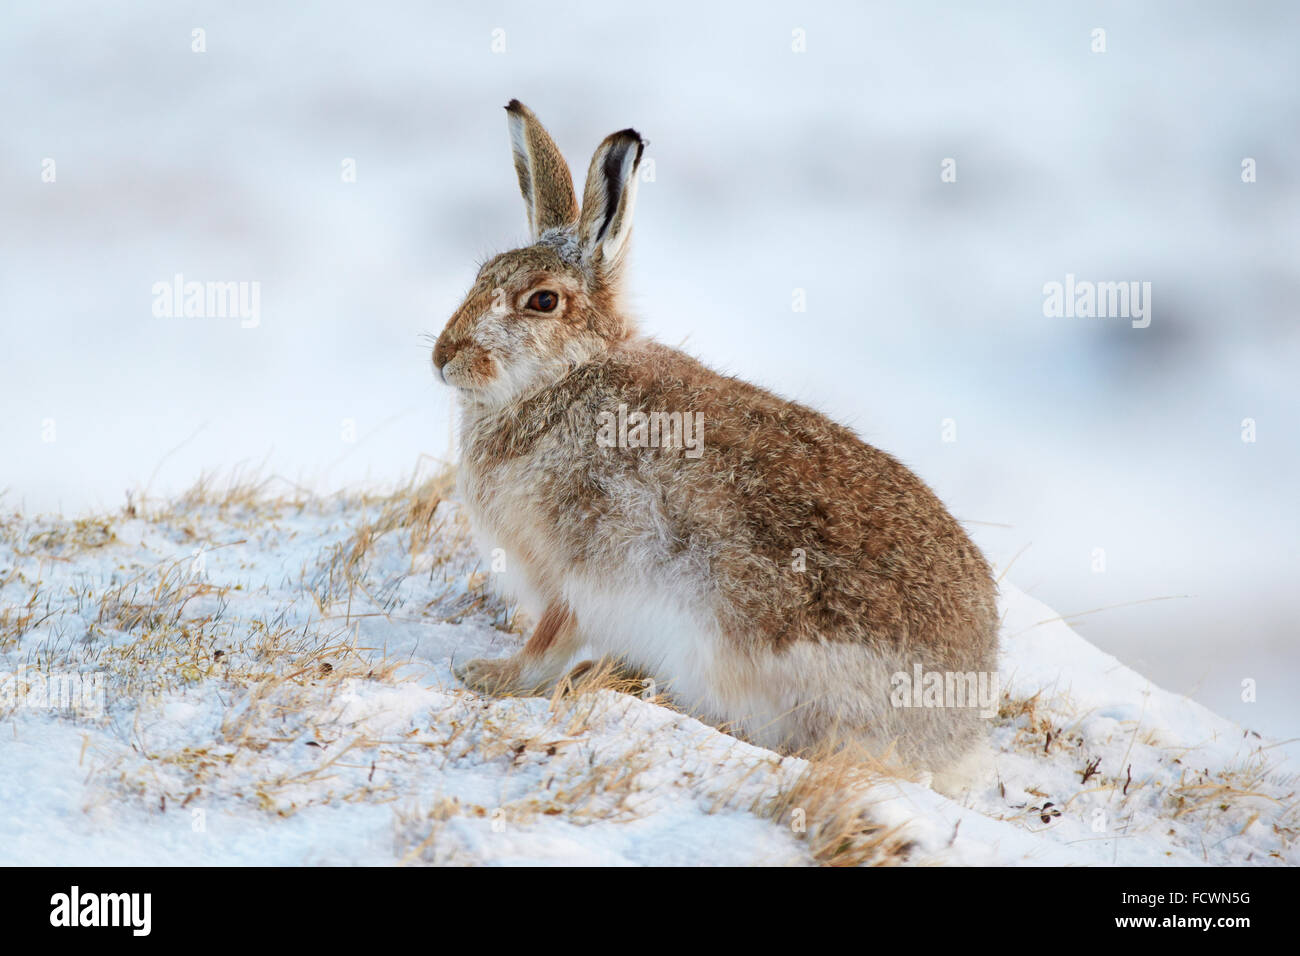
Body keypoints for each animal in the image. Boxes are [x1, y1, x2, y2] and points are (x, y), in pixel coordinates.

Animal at [433, 100, 999, 783]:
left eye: (543, 301)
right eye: (481, 275)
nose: (443, 358)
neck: (565, 377)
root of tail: (953, 729)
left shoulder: (578, 569)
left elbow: (551, 637)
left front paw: (491, 674)